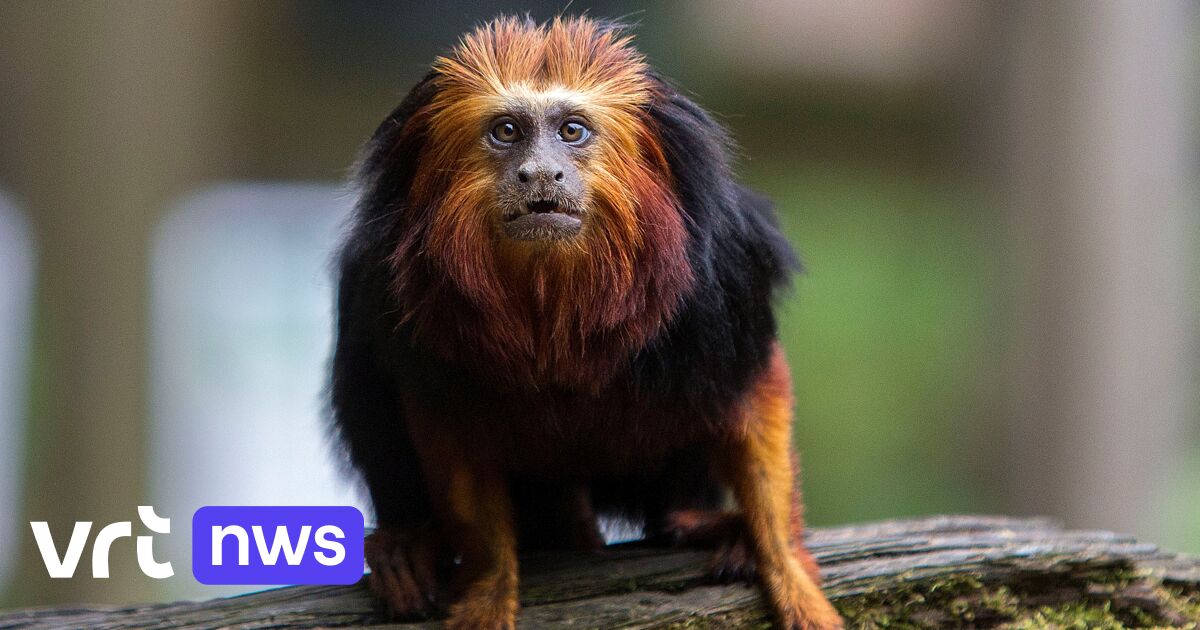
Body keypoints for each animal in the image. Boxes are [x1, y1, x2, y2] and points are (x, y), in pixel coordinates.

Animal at [330, 15, 843, 630]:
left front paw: (788, 572)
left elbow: (757, 396)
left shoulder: (723, 281)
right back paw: (408, 544)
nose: (539, 174)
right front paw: (486, 586)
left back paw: (694, 525)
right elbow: (450, 438)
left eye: (572, 131)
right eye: (506, 131)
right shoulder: (396, 288)